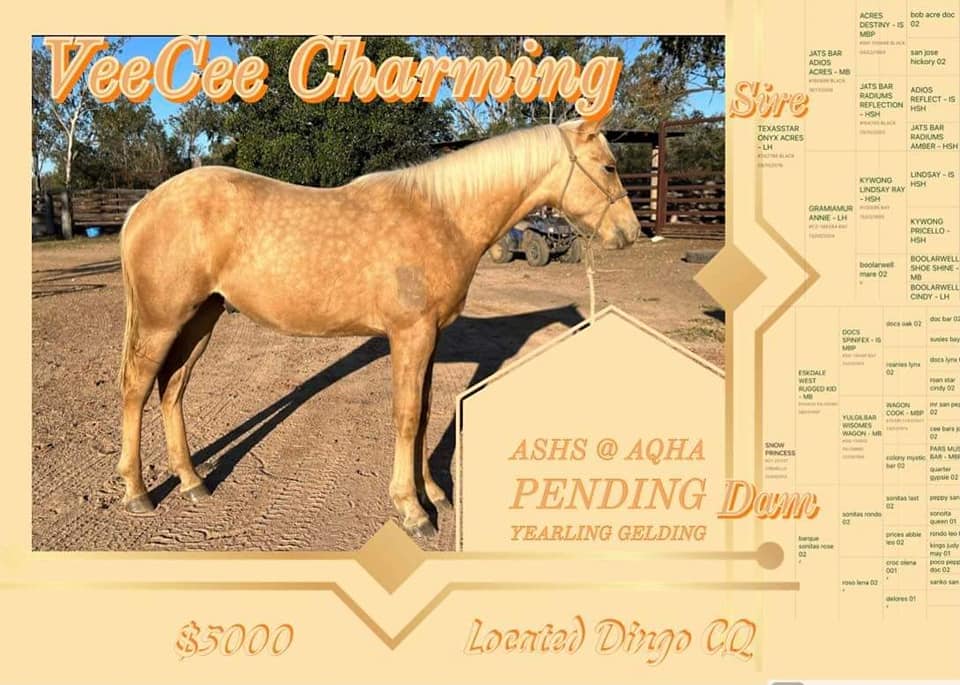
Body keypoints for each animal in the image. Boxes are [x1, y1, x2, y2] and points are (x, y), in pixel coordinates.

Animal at [116, 116, 641, 538]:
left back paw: (192, 482)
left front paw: (435, 493)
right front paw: (413, 510)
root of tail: (143, 206)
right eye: (609, 167)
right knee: (138, 389)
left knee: (172, 388)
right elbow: (406, 417)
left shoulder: (430, 336)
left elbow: (425, 413)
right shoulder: (410, 334)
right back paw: (139, 492)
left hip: (201, 318)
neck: (443, 216)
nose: (631, 234)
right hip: (163, 321)